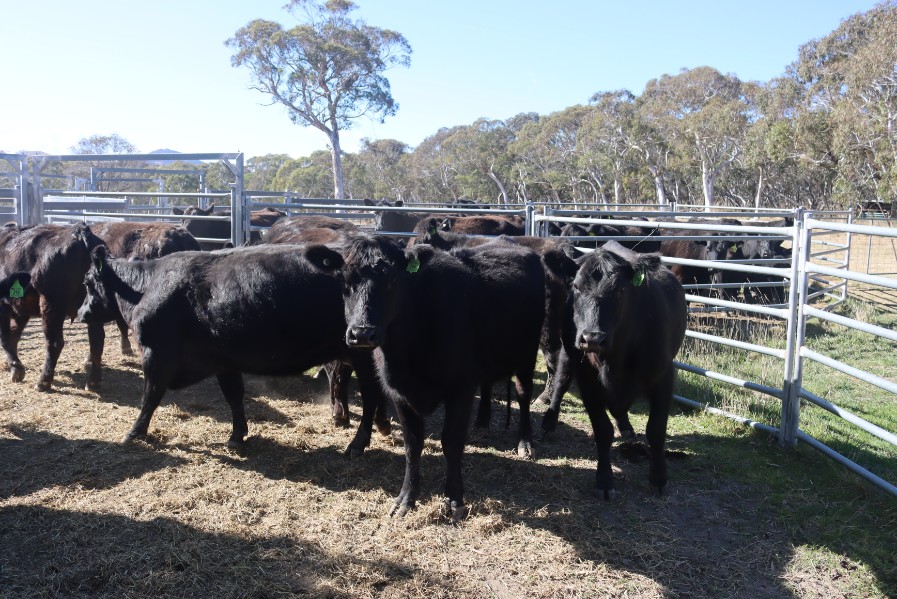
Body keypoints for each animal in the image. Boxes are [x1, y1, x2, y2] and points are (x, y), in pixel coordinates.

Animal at [0, 222, 107, 391]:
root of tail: (80, 233)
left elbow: (5, 338)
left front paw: (16, 369)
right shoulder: (21, 310)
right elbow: (13, 336)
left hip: (50, 307)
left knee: (55, 343)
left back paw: (43, 381)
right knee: (97, 340)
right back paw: (93, 382)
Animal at [76, 243, 382, 456]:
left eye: (88, 283)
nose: (80, 314)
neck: (146, 288)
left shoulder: (157, 358)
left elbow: (150, 397)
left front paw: (135, 432)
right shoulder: (224, 361)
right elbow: (234, 396)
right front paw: (237, 435)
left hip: (363, 353)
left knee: (371, 395)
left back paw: (359, 442)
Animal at [333, 235, 545, 520]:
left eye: (392, 281)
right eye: (345, 282)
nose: (362, 333)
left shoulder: (460, 389)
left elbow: (451, 442)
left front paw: (454, 499)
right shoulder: (399, 394)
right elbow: (412, 446)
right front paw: (406, 499)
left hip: (526, 356)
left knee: (523, 395)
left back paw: (525, 443)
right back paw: (482, 422)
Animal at [541, 241, 687, 499]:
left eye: (620, 291)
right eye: (576, 287)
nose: (592, 338)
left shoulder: (664, 376)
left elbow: (656, 430)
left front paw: (659, 477)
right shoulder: (588, 380)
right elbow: (602, 430)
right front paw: (605, 479)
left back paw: (626, 426)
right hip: (569, 350)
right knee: (560, 381)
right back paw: (549, 422)